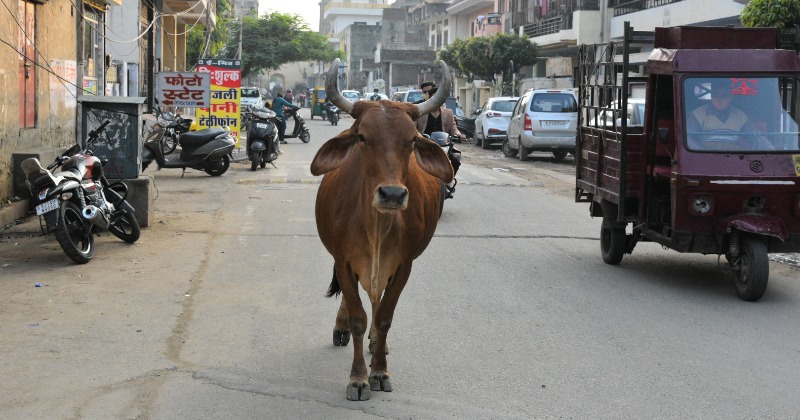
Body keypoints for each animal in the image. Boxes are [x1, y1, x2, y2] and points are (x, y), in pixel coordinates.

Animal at [310, 59, 454, 401]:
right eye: (362, 137)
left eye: (412, 139)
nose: (392, 194)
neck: (376, 227)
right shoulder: (343, 261)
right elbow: (358, 318)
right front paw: (358, 379)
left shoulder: (403, 264)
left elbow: (385, 317)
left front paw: (378, 371)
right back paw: (342, 329)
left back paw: (378, 344)